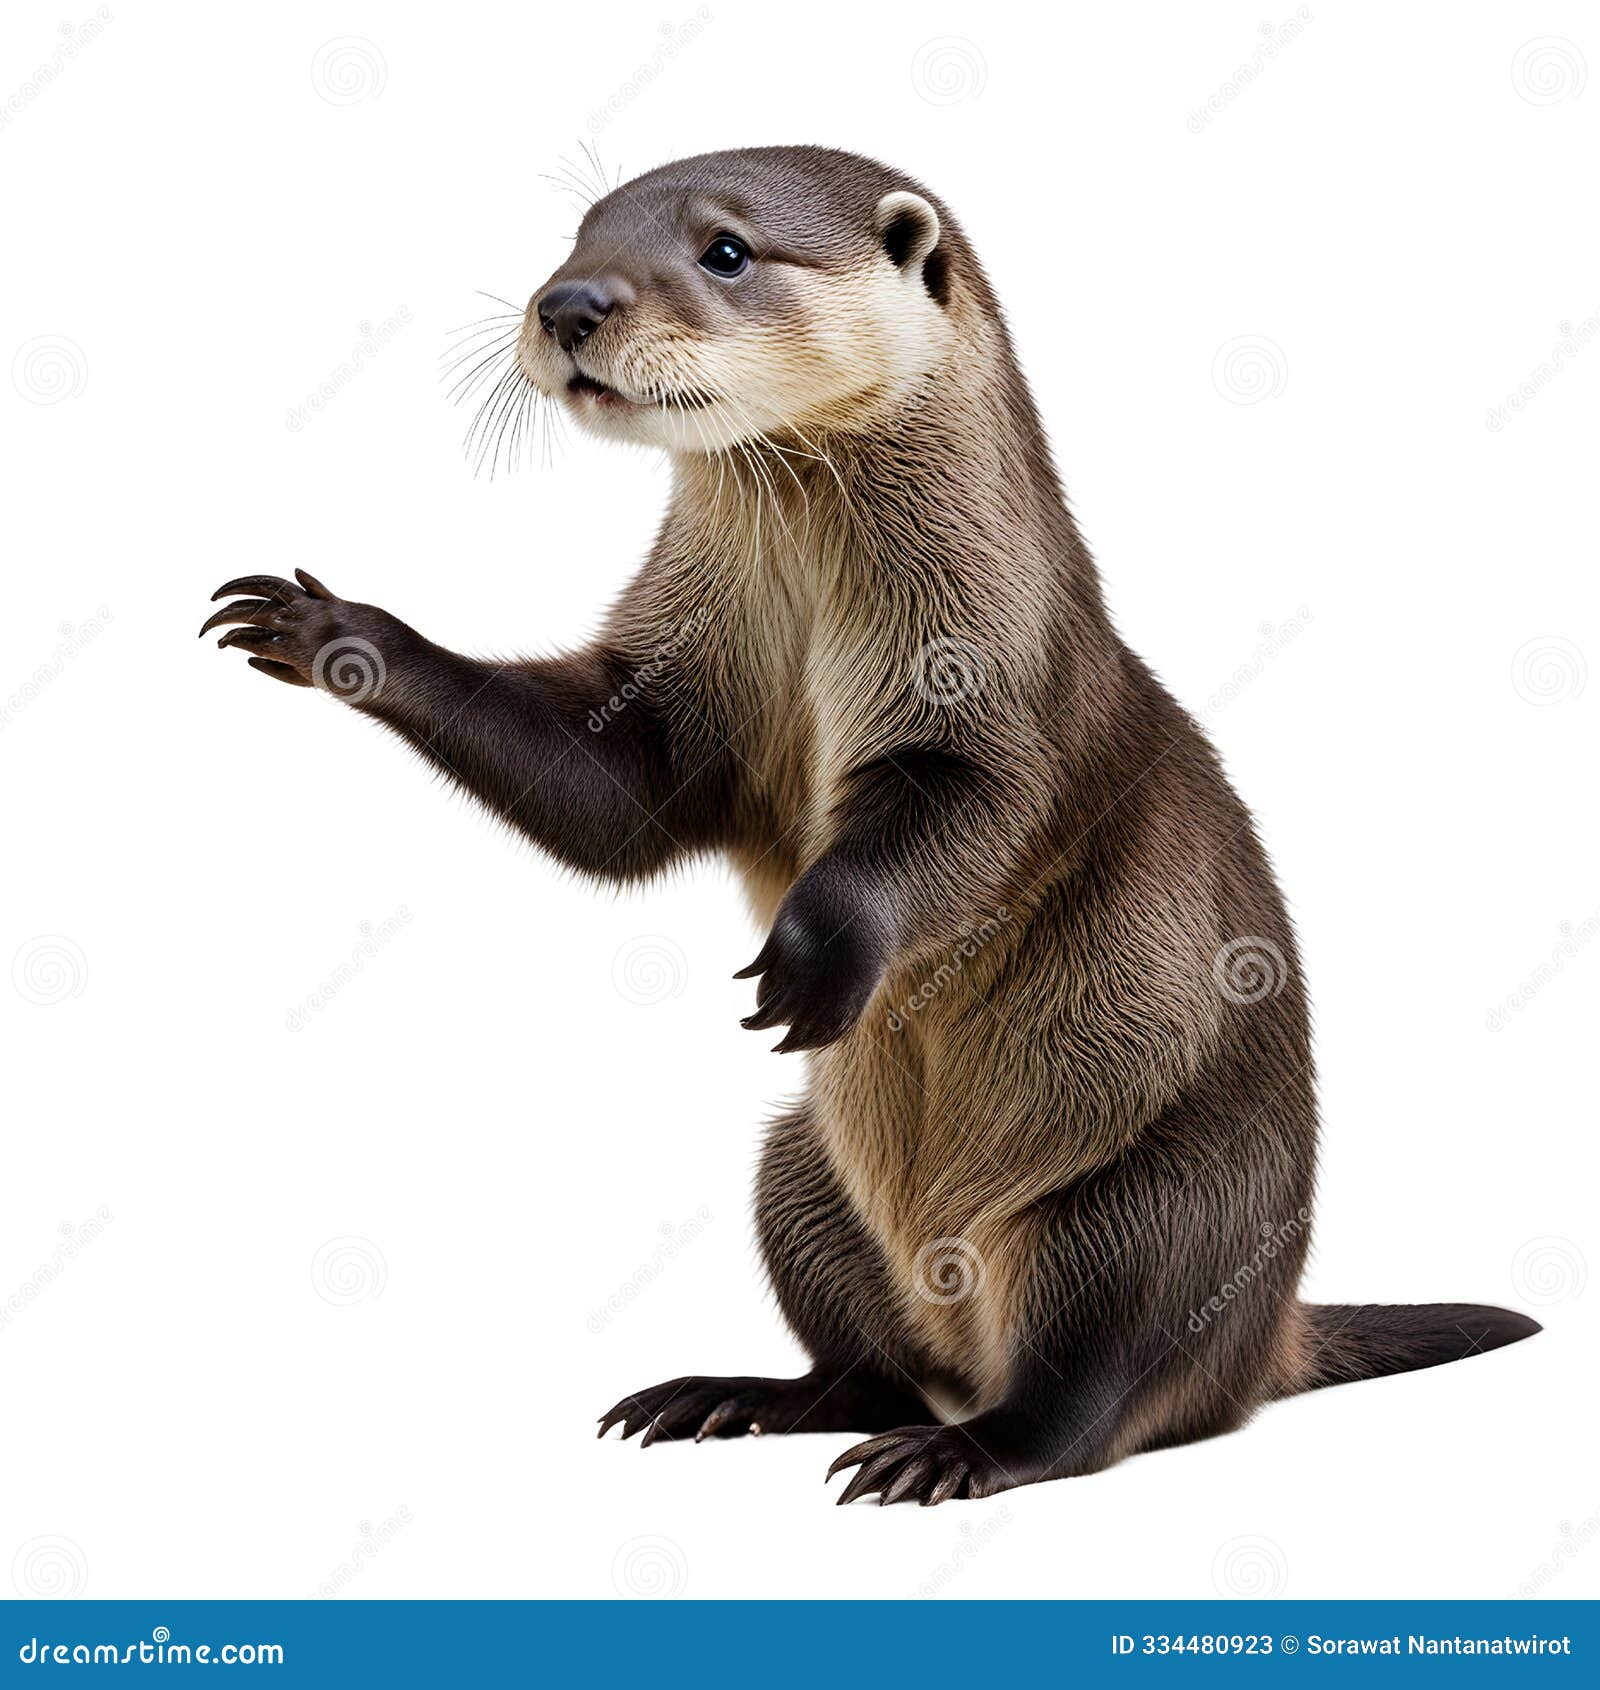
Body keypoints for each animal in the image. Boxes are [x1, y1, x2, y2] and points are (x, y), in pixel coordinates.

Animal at [202, 146, 1538, 1505]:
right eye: (577, 234)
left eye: (726, 250)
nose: (570, 304)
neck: (816, 609)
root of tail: (1272, 1326)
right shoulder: (677, 688)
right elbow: (614, 795)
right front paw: (333, 632)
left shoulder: (990, 683)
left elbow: (965, 810)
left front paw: (810, 953)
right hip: (799, 1169)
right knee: (863, 1359)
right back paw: (743, 1397)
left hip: (1145, 1208)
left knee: (1092, 1393)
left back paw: (958, 1448)